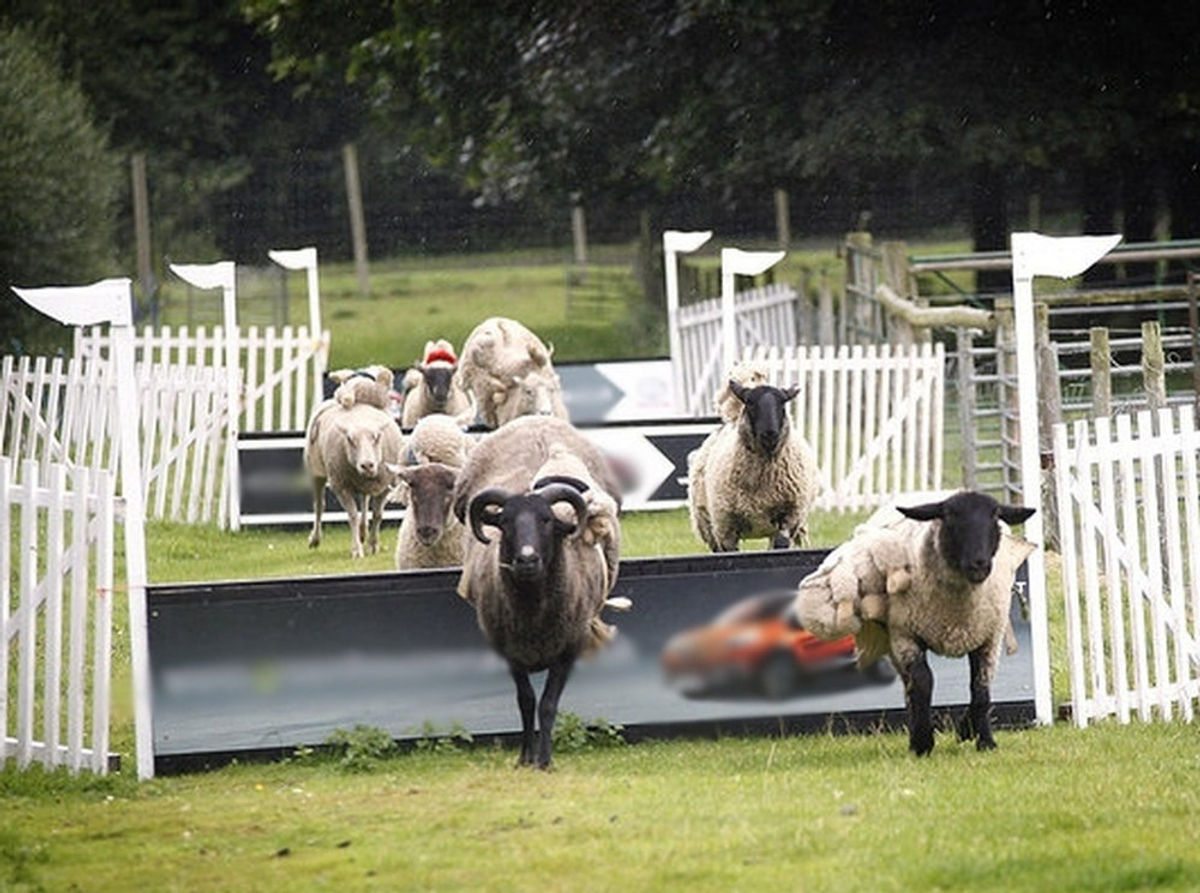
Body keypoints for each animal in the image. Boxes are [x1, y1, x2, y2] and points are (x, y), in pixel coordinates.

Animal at [304, 400, 405, 558]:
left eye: (376, 437)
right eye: (350, 440)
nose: (367, 465)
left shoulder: (385, 486)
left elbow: (377, 515)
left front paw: (373, 545)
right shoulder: (341, 487)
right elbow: (353, 516)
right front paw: (357, 550)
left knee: (364, 499)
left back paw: (363, 531)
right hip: (316, 470)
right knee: (319, 506)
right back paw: (315, 539)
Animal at [452, 416, 624, 768]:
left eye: (547, 520)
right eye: (504, 521)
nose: (527, 560)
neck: (532, 612)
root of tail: (535, 418)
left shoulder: (569, 648)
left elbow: (547, 704)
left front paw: (544, 760)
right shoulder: (509, 651)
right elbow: (526, 701)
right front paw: (525, 757)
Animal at [687, 373, 821, 552]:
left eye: (782, 403)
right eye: (750, 402)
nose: (770, 433)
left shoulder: (791, 515)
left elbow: (780, 544)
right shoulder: (725, 527)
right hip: (708, 526)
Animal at [790, 490, 1036, 756]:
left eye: (995, 516)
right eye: (949, 516)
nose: (979, 564)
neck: (957, 611)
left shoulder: (989, 637)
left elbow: (980, 687)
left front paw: (982, 739)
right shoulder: (905, 635)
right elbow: (922, 683)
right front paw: (923, 741)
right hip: (893, 641)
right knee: (909, 688)